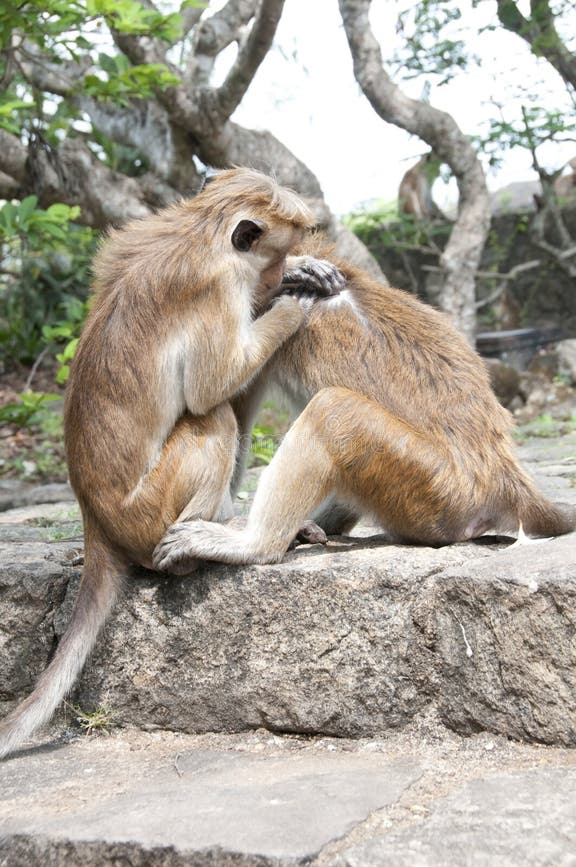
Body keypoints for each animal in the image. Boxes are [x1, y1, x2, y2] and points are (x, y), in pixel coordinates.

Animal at [0, 168, 339, 759]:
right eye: (273, 254)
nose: (280, 272)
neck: (200, 231)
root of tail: (96, 524)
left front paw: (301, 273)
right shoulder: (217, 290)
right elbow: (210, 387)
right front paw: (291, 304)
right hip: (152, 508)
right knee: (215, 418)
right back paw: (198, 551)